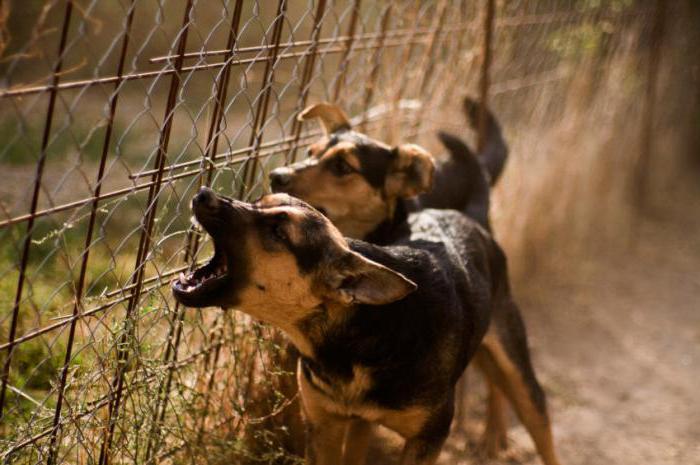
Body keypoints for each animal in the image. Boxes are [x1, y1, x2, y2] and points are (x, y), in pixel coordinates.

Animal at [172, 188, 560, 464]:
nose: (203, 193)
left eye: (279, 231)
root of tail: (467, 216)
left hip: (518, 367)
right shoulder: (325, 426)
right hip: (360, 423)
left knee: (536, 420)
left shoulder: (428, 440)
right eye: (258, 202)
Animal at [268, 99, 564, 460]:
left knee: (522, 397)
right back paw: (493, 432)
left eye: (342, 166)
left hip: (506, 337)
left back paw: (495, 433)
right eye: (310, 151)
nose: (276, 176)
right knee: (493, 376)